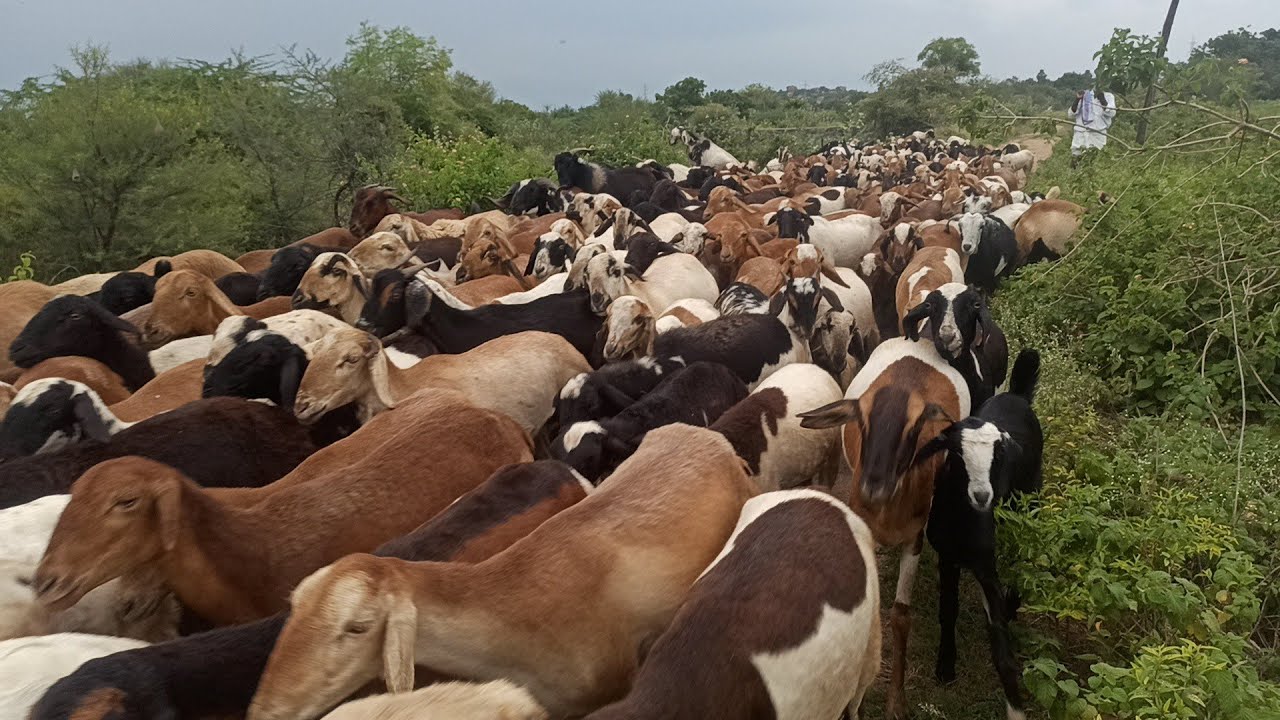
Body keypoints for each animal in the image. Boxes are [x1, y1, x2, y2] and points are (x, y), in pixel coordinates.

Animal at [798, 337, 971, 720]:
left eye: (915, 427)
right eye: (860, 421)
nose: (873, 486)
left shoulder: (914, 539)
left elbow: (901, 616)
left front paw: (896, 703)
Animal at [921, 349, 1043, 720]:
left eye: (998, 455)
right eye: (957, 453)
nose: (982, 496)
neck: (963, 521)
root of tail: (1016, 394)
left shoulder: (985, 564)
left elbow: (999, 637)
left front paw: (1015, 705)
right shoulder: (947, 556)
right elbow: (948, 610)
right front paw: (945, 666)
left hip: (1031, 496)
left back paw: (1014, 602)